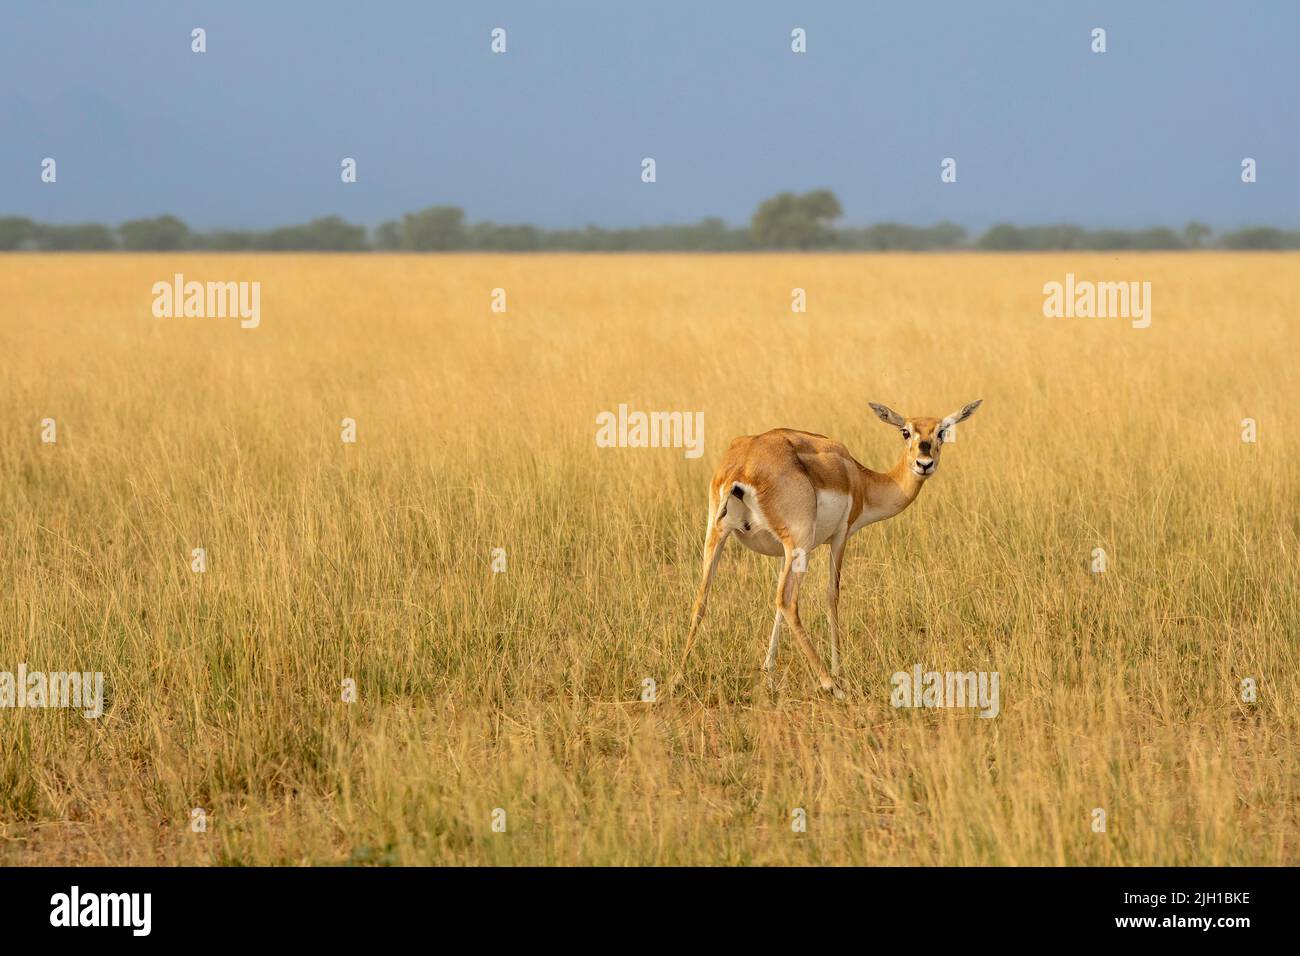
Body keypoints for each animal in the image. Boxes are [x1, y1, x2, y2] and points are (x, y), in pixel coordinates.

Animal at [673, 400, 982, 699]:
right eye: (906, 431)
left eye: (942, 431)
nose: (924, 463)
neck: (858, 478)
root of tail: (742, 467)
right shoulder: (840, 536)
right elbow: (831, 595)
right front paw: (838, 673)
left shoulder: (782, 552)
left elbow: (775, 607)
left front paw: (768, 674)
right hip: (800, 544)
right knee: (789, 601)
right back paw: (831, 685)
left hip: (718, 536)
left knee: (703, 598)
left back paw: (677, 679)